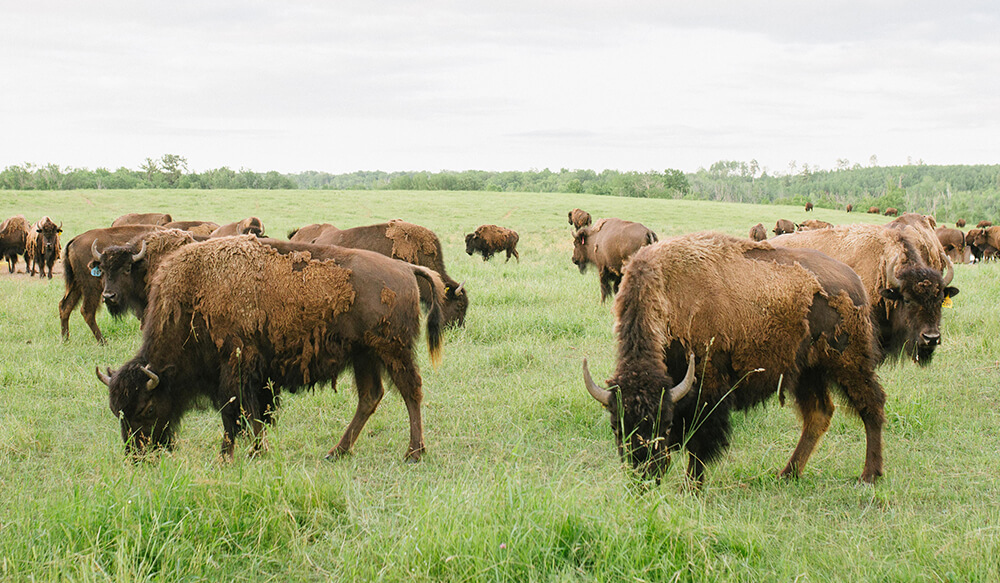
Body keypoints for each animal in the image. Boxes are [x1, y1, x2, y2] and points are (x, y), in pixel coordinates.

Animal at [96, 236, 444, 462]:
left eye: (147, 409)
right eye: (117, 412)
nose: (137, 454)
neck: (193, 297)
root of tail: (406, 269)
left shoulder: (236, 368)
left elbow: (235, 411)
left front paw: (235, 454)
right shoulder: (250, 376)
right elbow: (250, 414)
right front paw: (248, 450)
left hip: (393, 351)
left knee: (411, 391)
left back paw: (413, 453)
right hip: (364, 355)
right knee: (370, 397)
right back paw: (337, 452)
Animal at [583, 232, 885, 485]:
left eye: (665, 423)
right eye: (616, 426)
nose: (645, 475)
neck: (666, 293)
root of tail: (854, 281)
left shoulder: (707, 389)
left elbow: (699, 442)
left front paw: (692, 487)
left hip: (848, 364)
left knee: (871, 407)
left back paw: (869, 475)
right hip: (807, 371)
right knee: (818, 414)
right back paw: (787, 474)